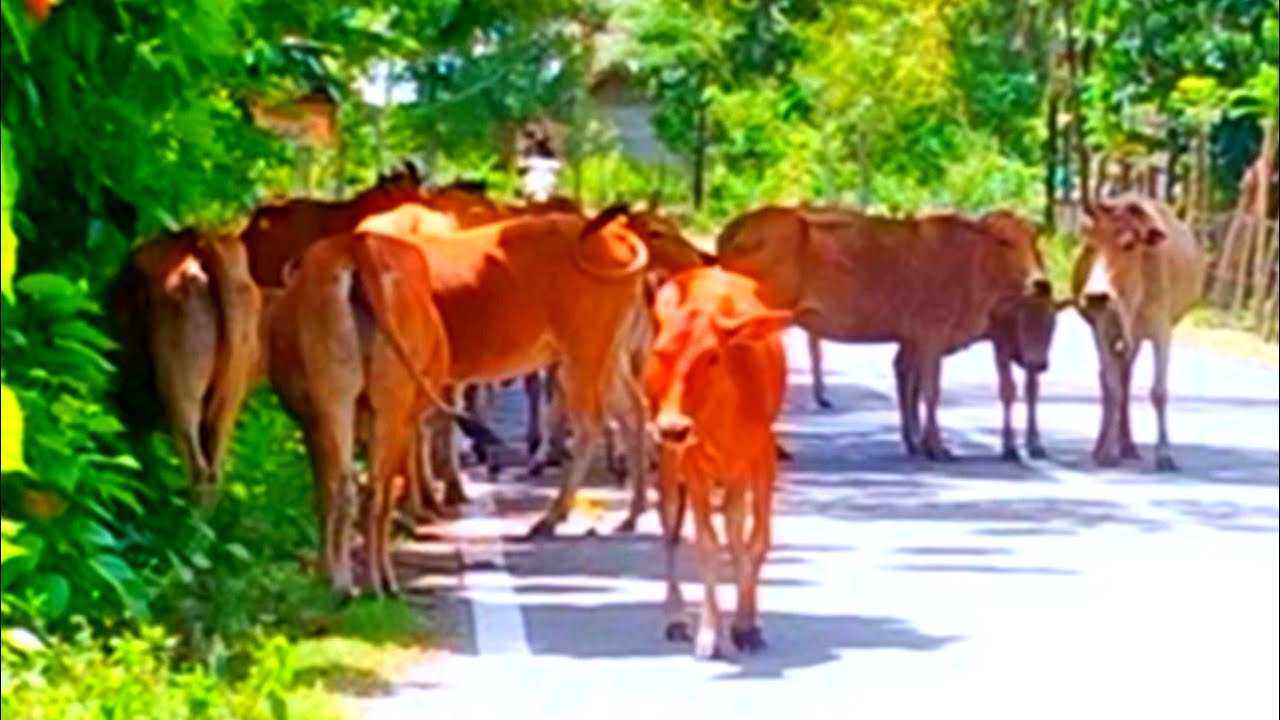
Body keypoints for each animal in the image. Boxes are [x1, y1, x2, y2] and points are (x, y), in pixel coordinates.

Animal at [265, 229, 499, 594]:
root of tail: (356, 245)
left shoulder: (312, 422)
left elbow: (327, 491)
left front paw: (328, 571)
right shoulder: (404, 422)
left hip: (336, 398)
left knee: (345, 486)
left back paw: (344, 583)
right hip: (387, 406)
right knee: (371, 492)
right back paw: (374, 582)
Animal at [354, 204, 650, 537]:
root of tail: (616, 235)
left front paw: (414, 509)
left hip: (584, 351)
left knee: (590, 424)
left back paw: (551, 516)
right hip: (609, 352)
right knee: (633, 410)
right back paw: (632, 511)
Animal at [646, 267, 792, 659]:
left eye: (712, 356)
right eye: (660, 353)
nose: (674, 427)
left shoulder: (762, 455)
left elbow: (756, 540)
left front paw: (746, 625)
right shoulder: (692, 462)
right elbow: (707, 543)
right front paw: (709, 633)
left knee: (734, 525)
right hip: (669, 458)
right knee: (670, 525)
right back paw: (676, 617)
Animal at [717, 205, 1050, 460]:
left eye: (1033, 240)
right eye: (1003, 241)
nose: (1039, 282)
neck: (970, 265)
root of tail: (737, 226)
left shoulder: (914, 340)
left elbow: (912, 388)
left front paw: (918, 443)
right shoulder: (931, 335)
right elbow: (930, 392)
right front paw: (936, 447)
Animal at [1070, 194, 1205, 470]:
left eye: (1129, 245)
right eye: (1090, 245)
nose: (1096, 295)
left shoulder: (1162, 331)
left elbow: (1159, 392)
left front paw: (1164, 454)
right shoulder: (1102, 328)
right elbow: (1113, 388)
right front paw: (1105, 453)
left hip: (1140, 338)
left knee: (1127, 376)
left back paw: (1128, 446)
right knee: (1113, 381)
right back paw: (1107, 445)